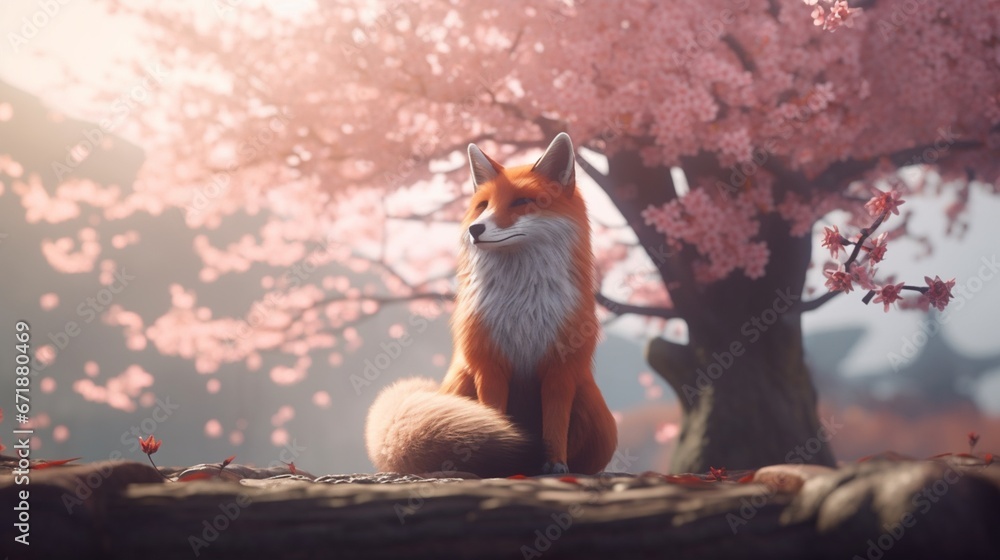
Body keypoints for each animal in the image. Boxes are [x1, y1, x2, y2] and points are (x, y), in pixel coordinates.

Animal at [365, 133, 617, 477]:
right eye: (483, 206)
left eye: (521, 202)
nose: (476, 229)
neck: (522, 303)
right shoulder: (489, 364)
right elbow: (493, 416)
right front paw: (501, 452)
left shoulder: (560, 369)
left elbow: (555, 423)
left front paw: (554, 464)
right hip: (462, 384)